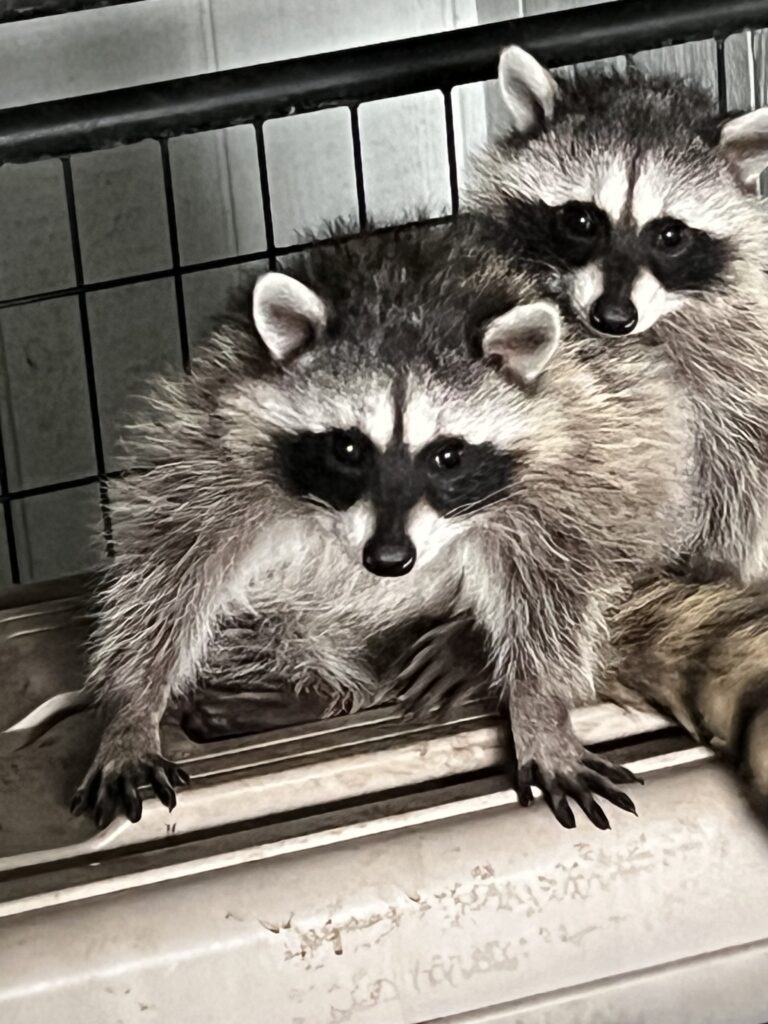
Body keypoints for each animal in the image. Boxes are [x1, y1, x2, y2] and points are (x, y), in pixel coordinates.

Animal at [71, 220, 690, 829]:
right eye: (348, 448)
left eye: (447, 456)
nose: (389, 560)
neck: (406, 304)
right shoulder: (218, 443)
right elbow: (168, 568)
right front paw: (132, 704)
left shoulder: (576, 445)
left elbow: (564, 570)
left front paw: (539, 704)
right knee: (254, 623)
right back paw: (322, 687)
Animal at [469, 47, 768, 583]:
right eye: (582, 219)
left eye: (670, 235)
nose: (612, 317)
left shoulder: (739, 361)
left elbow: (744, 463)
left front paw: (717, 559)